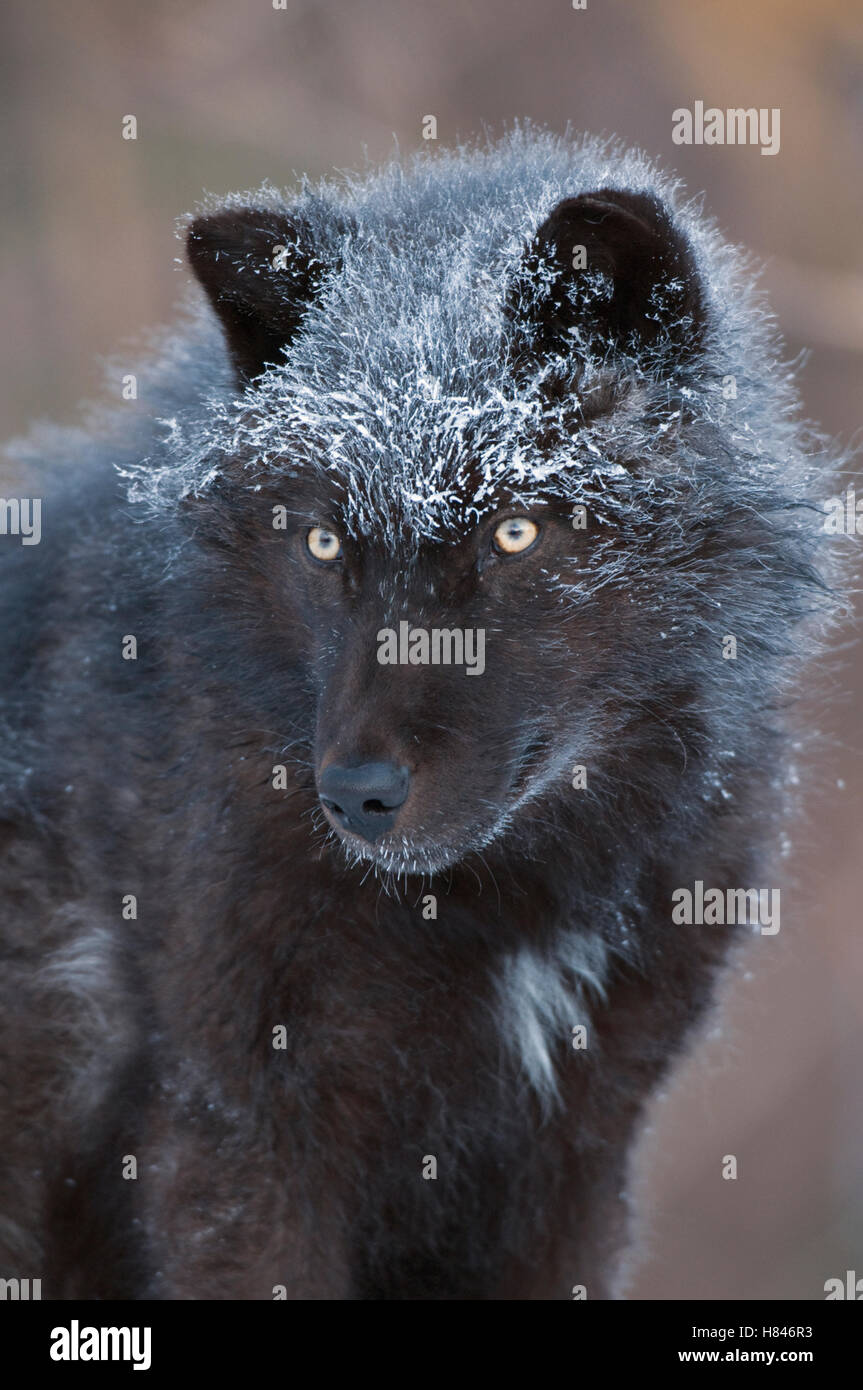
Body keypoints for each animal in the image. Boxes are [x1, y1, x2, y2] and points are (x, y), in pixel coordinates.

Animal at [0, 128, 839, 1299]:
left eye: (513, 532)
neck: (501, 906)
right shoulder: (235, 1141)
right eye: (321, 545)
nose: (355, 793)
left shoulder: (574, 1154)